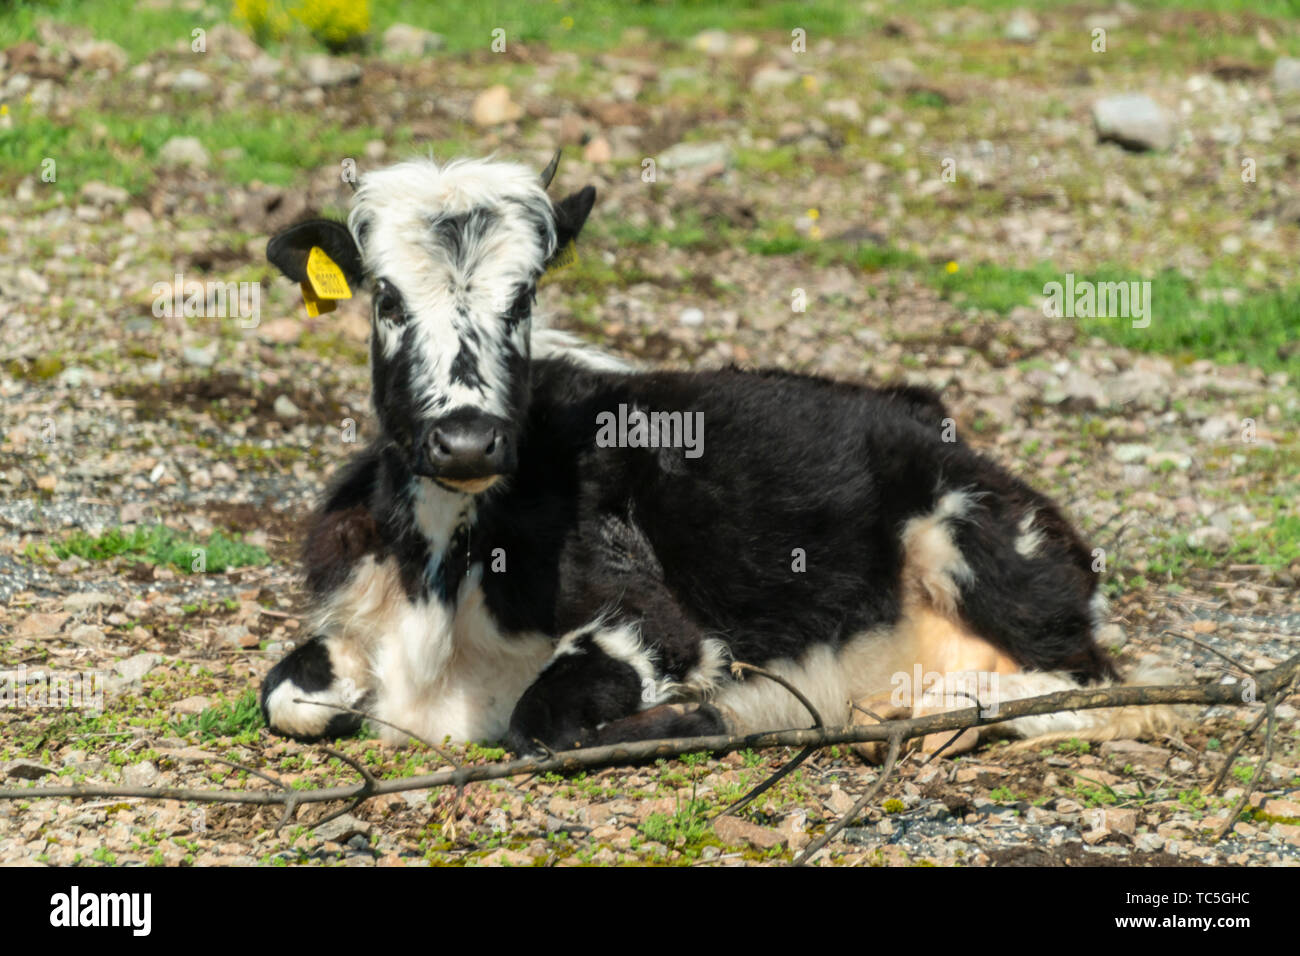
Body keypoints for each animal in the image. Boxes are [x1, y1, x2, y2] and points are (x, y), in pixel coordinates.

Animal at [258, 153, 1181, 757]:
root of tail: (921, 412)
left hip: (981, 545)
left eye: (522, 297)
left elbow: (545, 723)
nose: (466, 438)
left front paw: (724, 711)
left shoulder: (660, 624)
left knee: (1102, 689)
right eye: (385, 297)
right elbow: (284, 694)